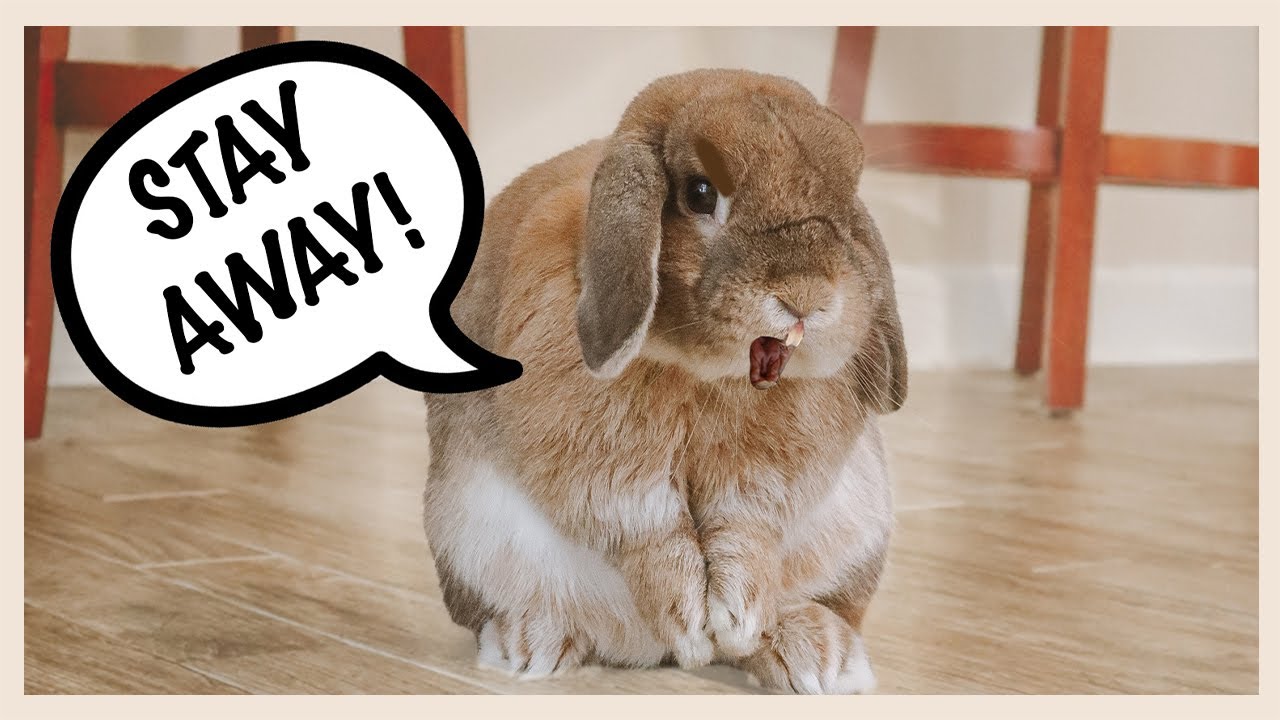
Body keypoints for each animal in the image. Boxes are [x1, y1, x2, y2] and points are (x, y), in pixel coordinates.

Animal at [422, 68, 906, 694]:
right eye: (701, 193)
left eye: (845, 196)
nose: (808, 296)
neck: (702, 371)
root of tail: (648, 652)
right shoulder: (602, 463)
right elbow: (646, 528)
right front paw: (694, 624)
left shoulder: (771, 473)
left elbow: (747, 527)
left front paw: (736, 618)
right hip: (467, 537)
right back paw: (533, 642)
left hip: (859, 534)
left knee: (824, 604)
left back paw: (813, 656)